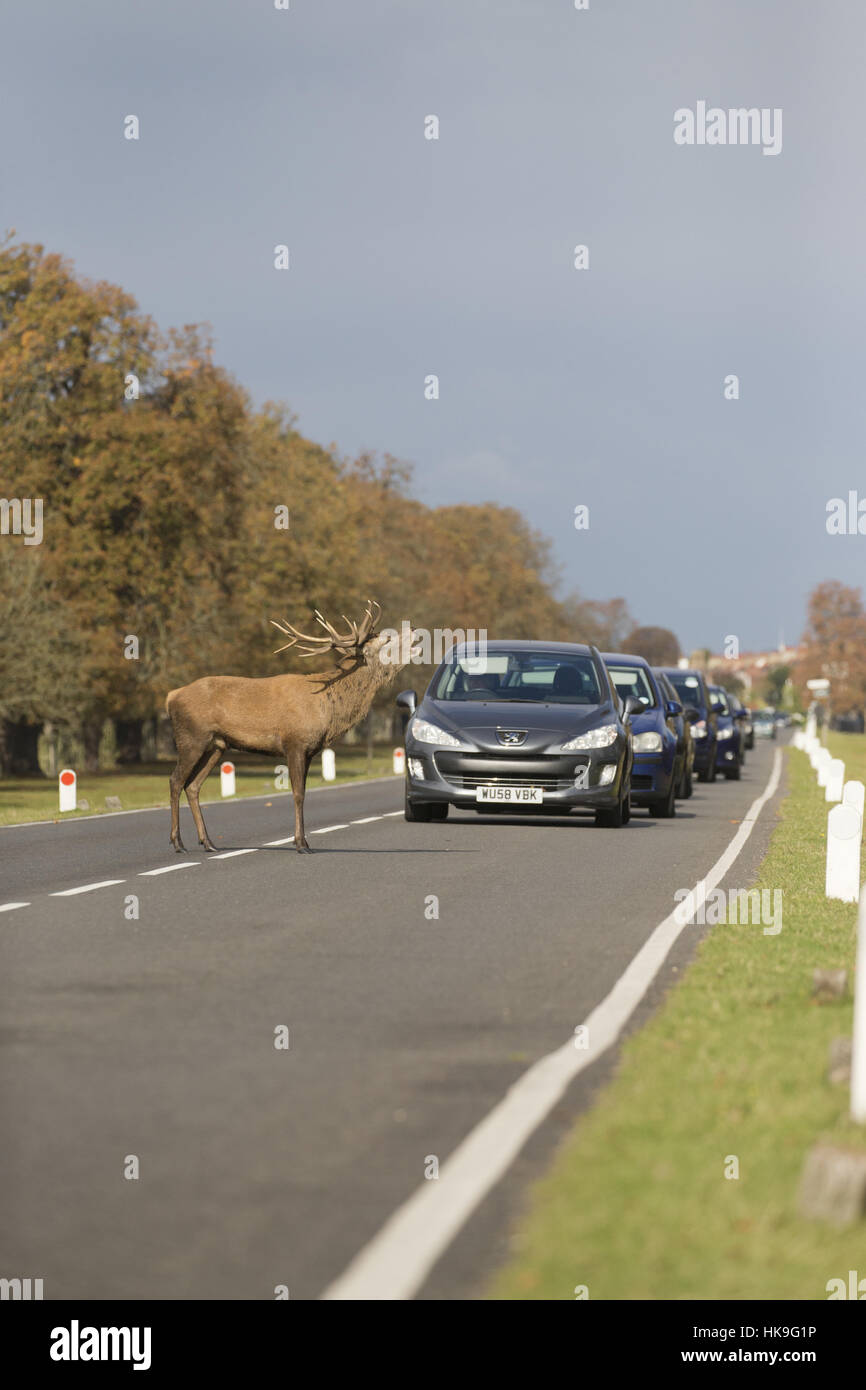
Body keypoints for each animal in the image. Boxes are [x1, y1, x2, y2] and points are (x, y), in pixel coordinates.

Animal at [166, 600, 412, 853]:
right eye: (386, 640)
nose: (413, 631)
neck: (327, 709)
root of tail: (171, 697)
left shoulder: (310, 750)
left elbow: (303, 792)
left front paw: (302, 840)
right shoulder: (295, 743)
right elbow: (298, 794)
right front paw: (301, 843)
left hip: (216, 745)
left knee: (193, 785)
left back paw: (208, 842)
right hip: (191, 738)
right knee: (175, 781)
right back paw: (178, 843)